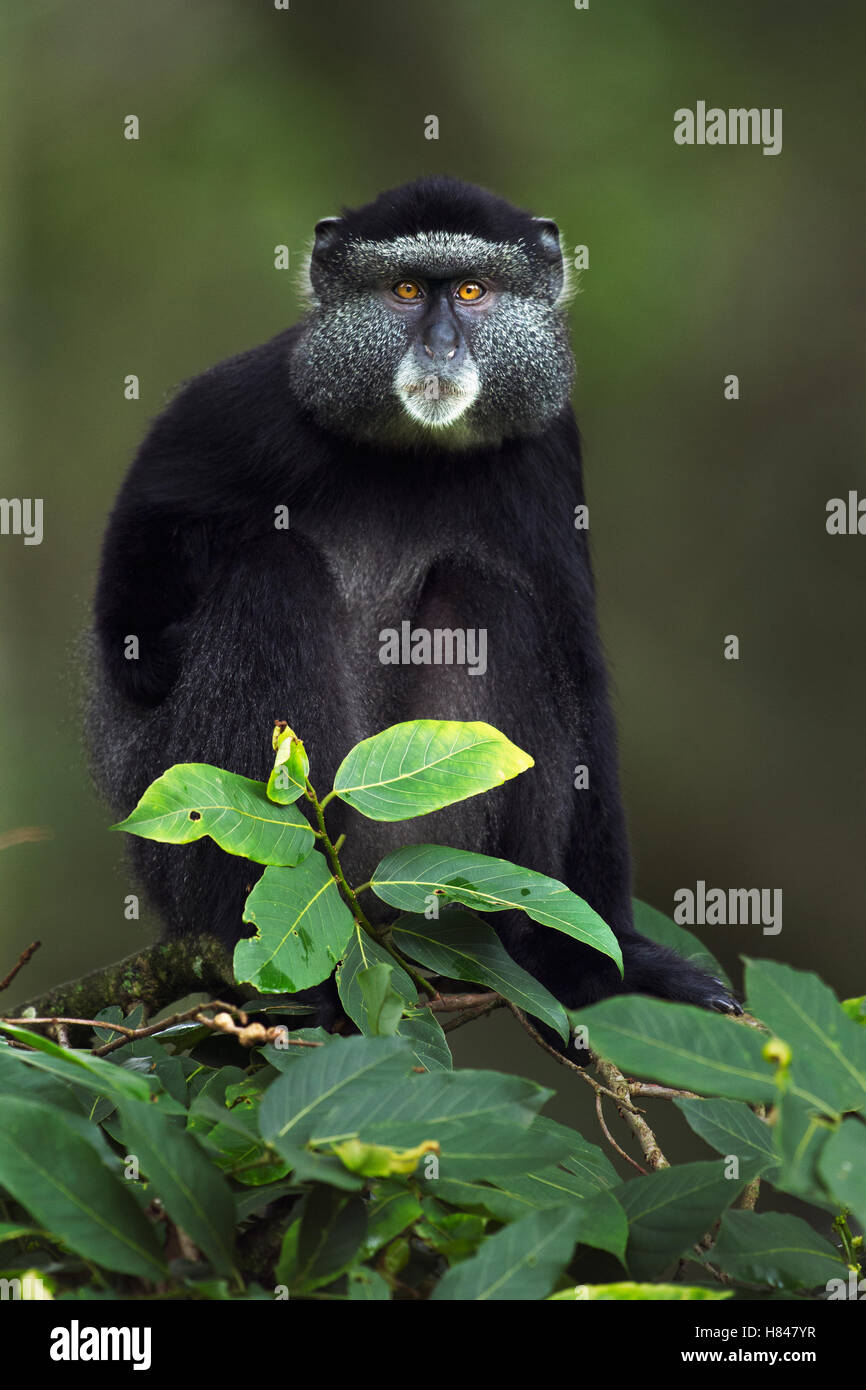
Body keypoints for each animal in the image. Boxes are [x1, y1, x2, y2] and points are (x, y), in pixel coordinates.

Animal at [89, 175, 740, 1030]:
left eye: (470, 291)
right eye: (404, 291)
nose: (440, 345)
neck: (413, 450)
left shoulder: (549, 452)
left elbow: (576, 664)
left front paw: (611, 955)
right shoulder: (247, 402)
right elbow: (134, 584)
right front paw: (151, 650)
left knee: (490, 595)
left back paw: (535, 949)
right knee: (270, 569)